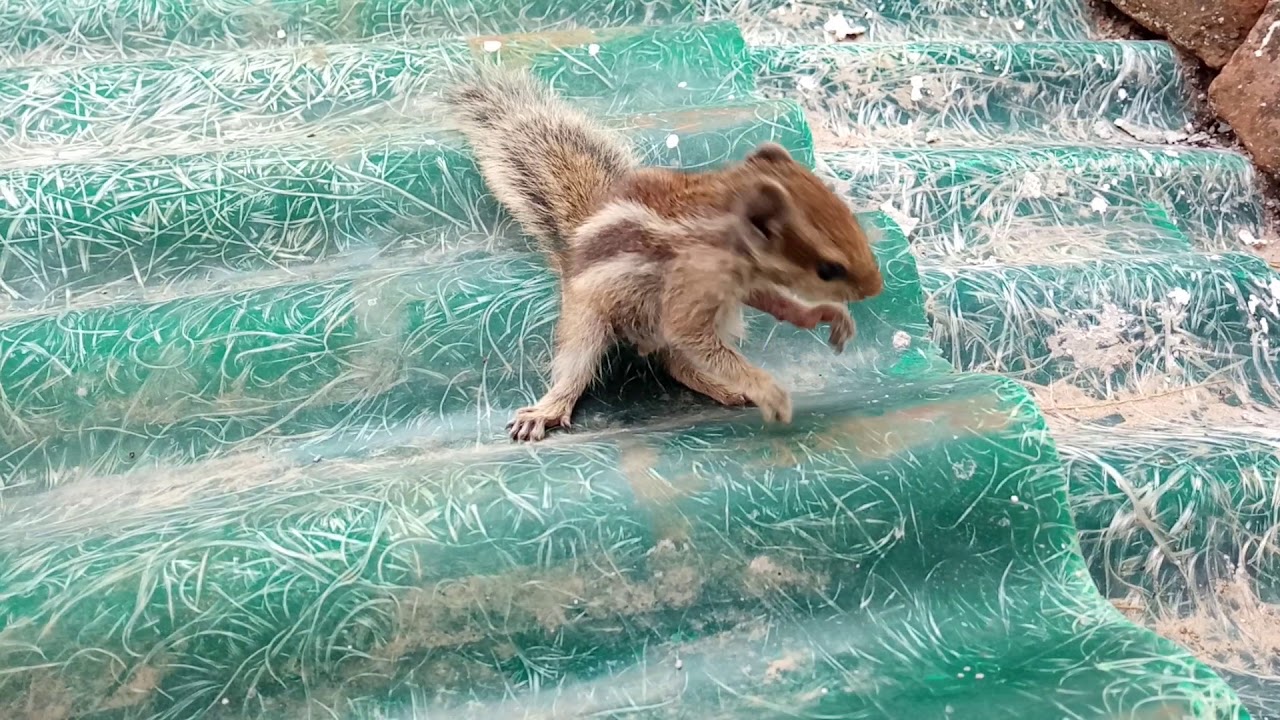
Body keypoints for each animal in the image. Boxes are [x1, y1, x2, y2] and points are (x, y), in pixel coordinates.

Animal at [442, 68, 884, 442]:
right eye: (829, 268)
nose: (877, 288)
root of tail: (572, 248)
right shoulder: (690, 294)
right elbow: (699, 341)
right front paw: (768, 389)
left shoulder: (739, 288)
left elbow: (776, 304)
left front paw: (825, 316)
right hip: (588, 318)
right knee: (592, 364)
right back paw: (549, 409)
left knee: (676, 362)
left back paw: (721, 387)